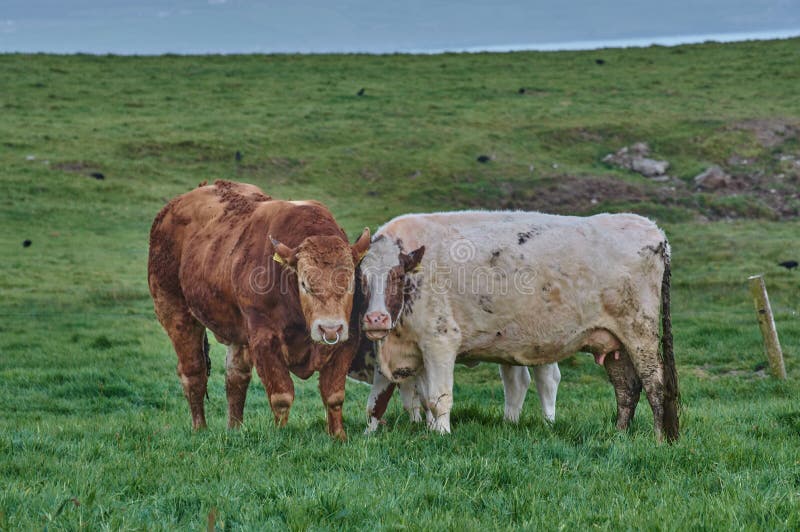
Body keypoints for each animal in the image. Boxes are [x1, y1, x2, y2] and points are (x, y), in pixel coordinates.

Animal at [148, 180, 370, 440]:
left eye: (350, 282)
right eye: (304, 283)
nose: (330, 328)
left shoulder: (348, 337)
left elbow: (333, 395)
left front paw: (338, 436)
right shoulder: (264, 339)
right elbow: (281, 396)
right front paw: (281, 435)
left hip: (237, 332)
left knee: (235, 377)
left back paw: (235, 428)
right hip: (174, 310)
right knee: (194, 372)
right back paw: (200, 427)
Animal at [348, 337, 561, 433]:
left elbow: (424, 397)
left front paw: (432, 425)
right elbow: (409, 399)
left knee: (548, 379)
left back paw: (548, 423)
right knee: (517, 380)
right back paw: (509, 422)